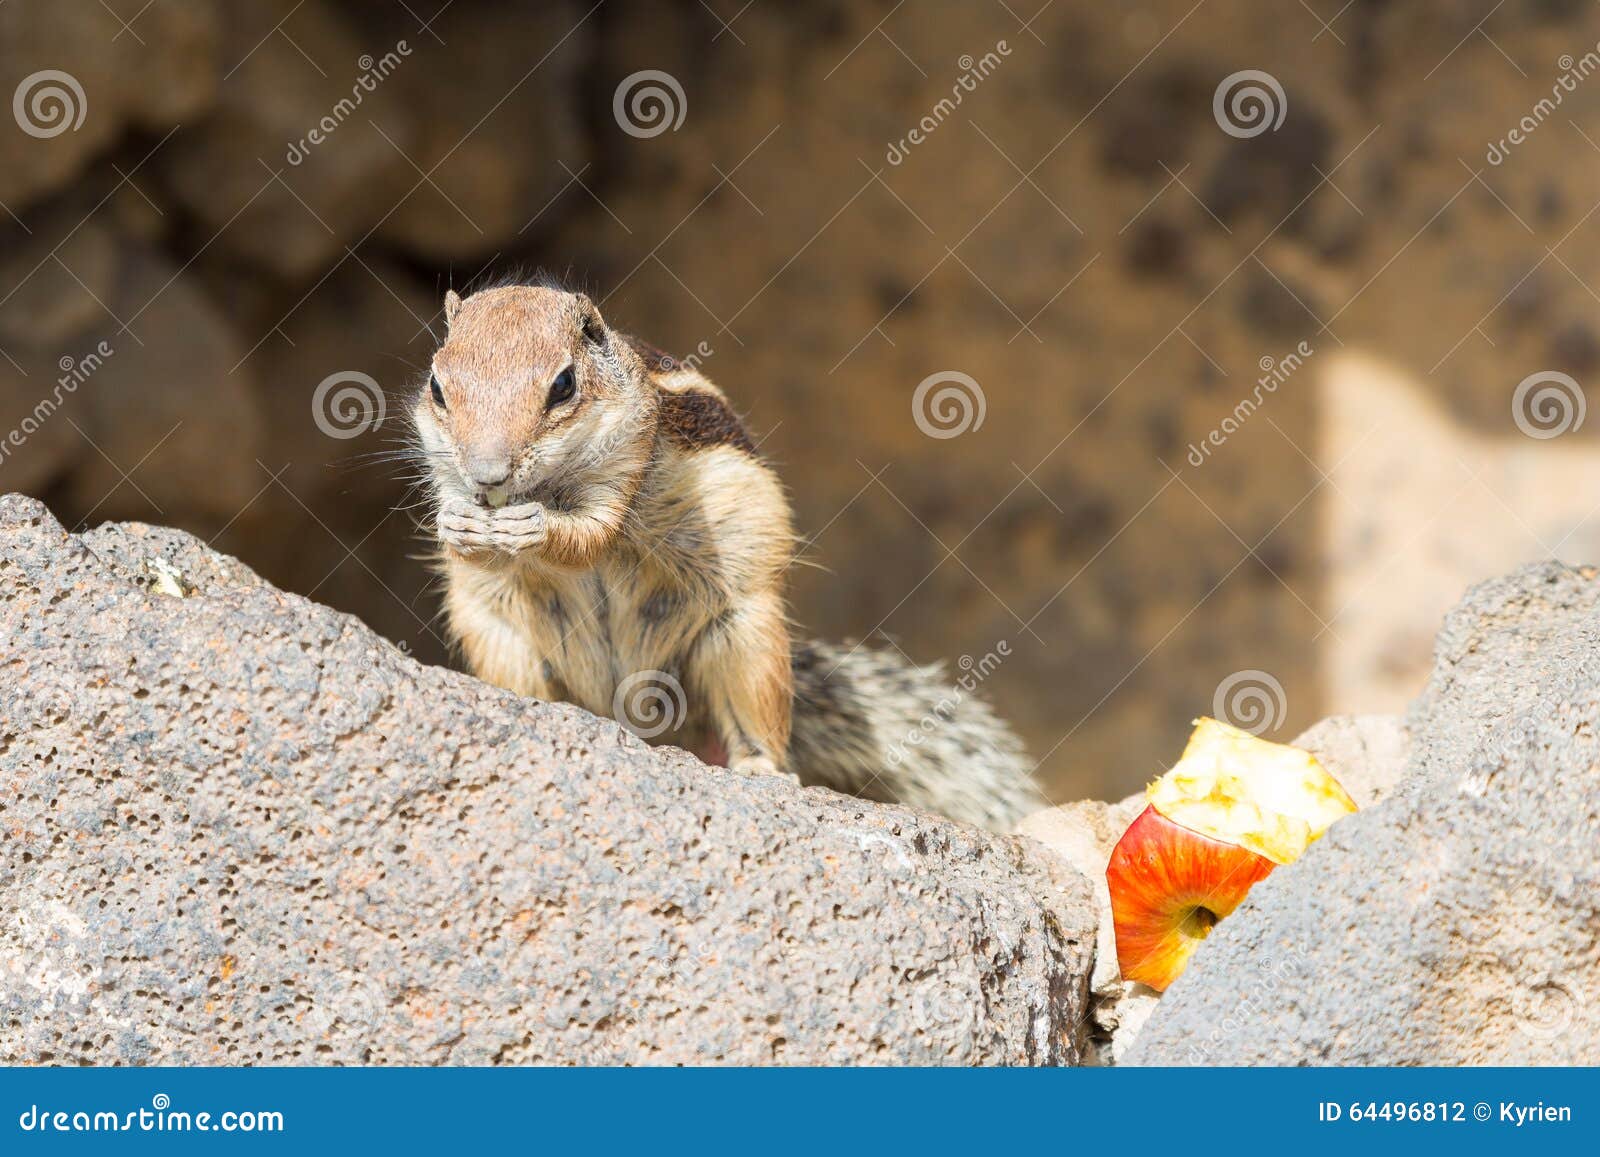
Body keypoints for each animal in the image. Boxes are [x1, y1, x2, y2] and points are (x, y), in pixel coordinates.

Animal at [410, 280, 1038, 830]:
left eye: (563, 385)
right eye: (438, 388)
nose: (488, 477)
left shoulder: (627, 464)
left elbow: (590, 535)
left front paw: (533, 527)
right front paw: (458, 524)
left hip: (742, 638)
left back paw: (760, 768)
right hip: (503, 642)